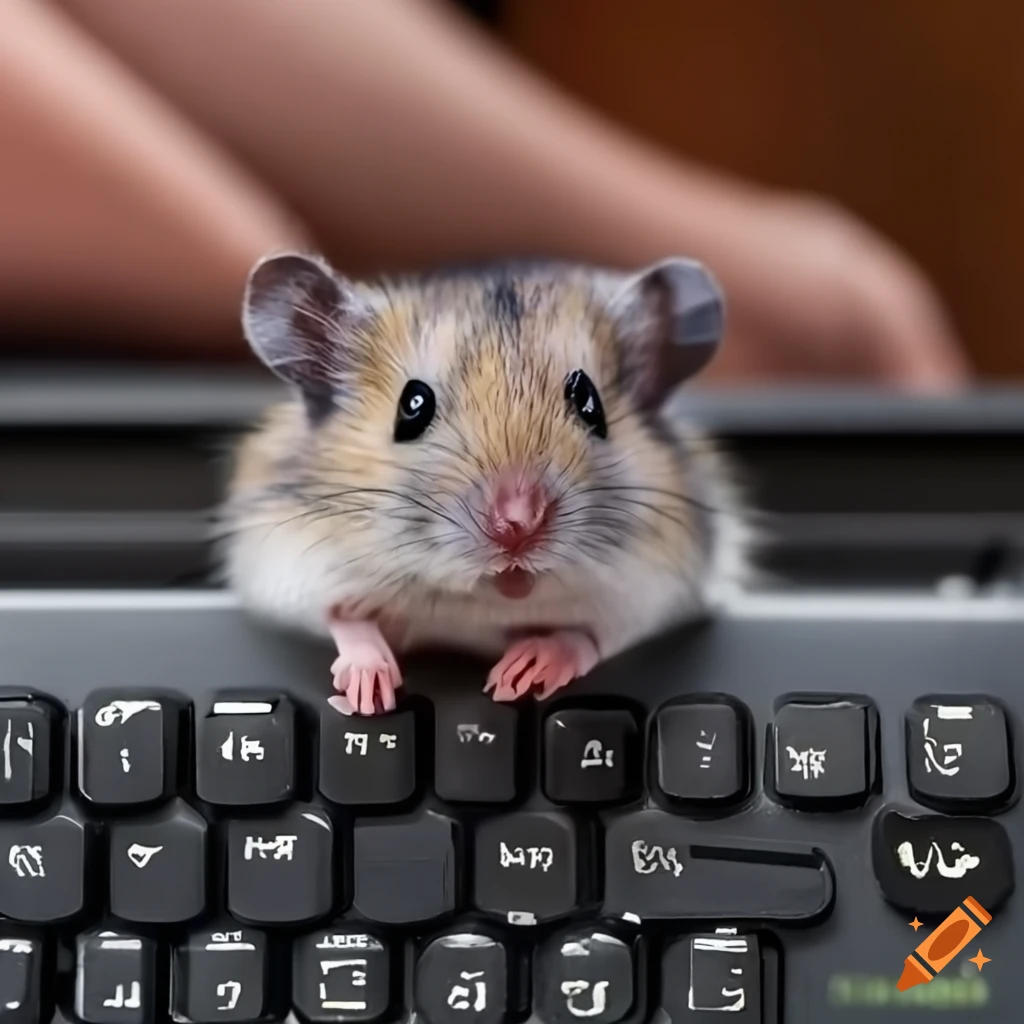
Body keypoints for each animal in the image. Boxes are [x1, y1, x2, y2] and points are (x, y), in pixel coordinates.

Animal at [218, 253, 750, 716]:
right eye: (412, 406)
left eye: (590, 403)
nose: (518, 525)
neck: (478, 600)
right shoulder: (288, 564)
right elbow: (344, 620)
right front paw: (369, 695)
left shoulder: (653, 592)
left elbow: (589, 636)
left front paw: (521, 674)